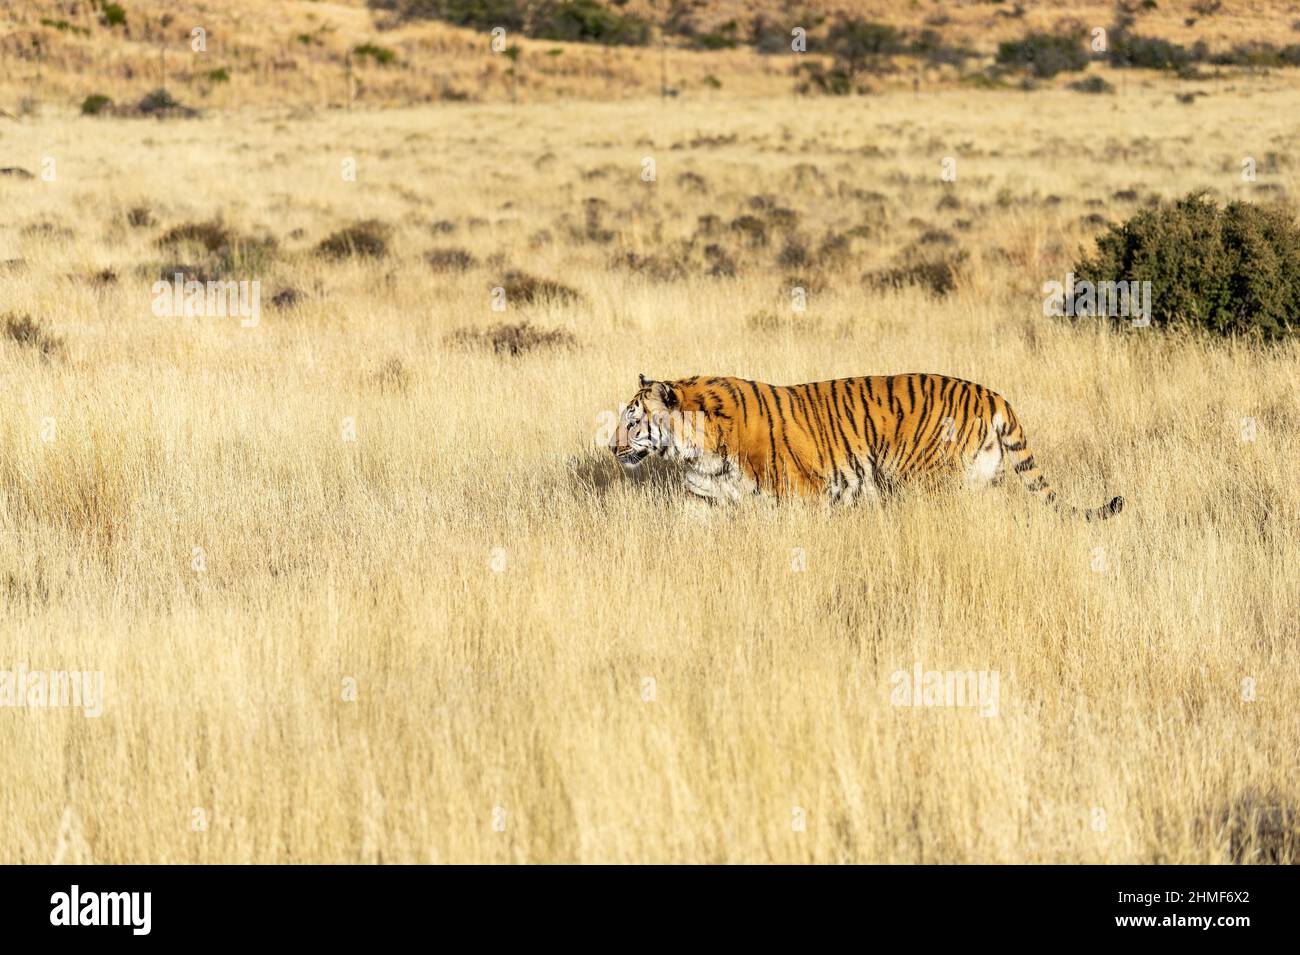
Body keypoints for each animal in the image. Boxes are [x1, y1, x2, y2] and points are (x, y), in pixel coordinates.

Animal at [609, 373, 1124, 521]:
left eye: (632, 421)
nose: (612, 449)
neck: (697, 449)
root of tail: (993, 395)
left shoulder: (803, 494)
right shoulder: (705, 498)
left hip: (927, 483)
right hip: (981, 481)